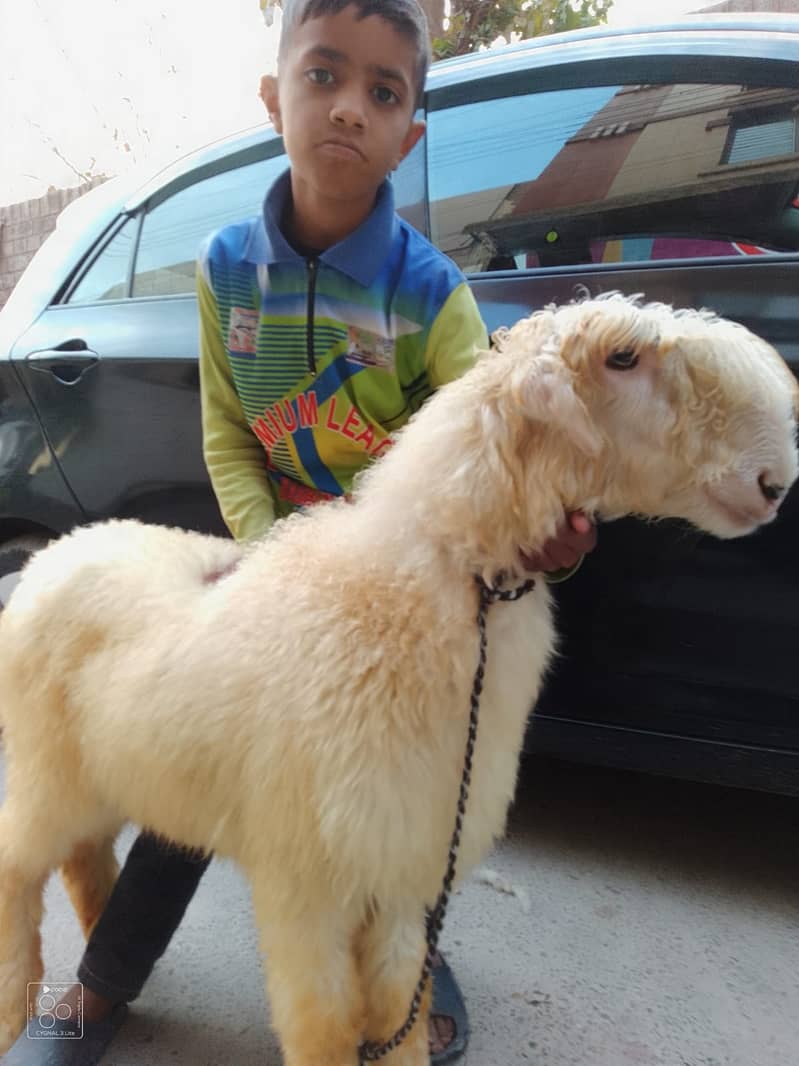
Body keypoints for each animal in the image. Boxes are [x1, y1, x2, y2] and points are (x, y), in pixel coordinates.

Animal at [0, 294, 796, 1066]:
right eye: (622, 357)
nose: (772, 485)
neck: (404, 594)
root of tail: (56, 553)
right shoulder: (304, 881)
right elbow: (323, 1032)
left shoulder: (400, 865)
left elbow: (395, 1012)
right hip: (47, 768)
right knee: (17, 859)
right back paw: (19, 1006)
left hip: (104, 775)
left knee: (82, 856)